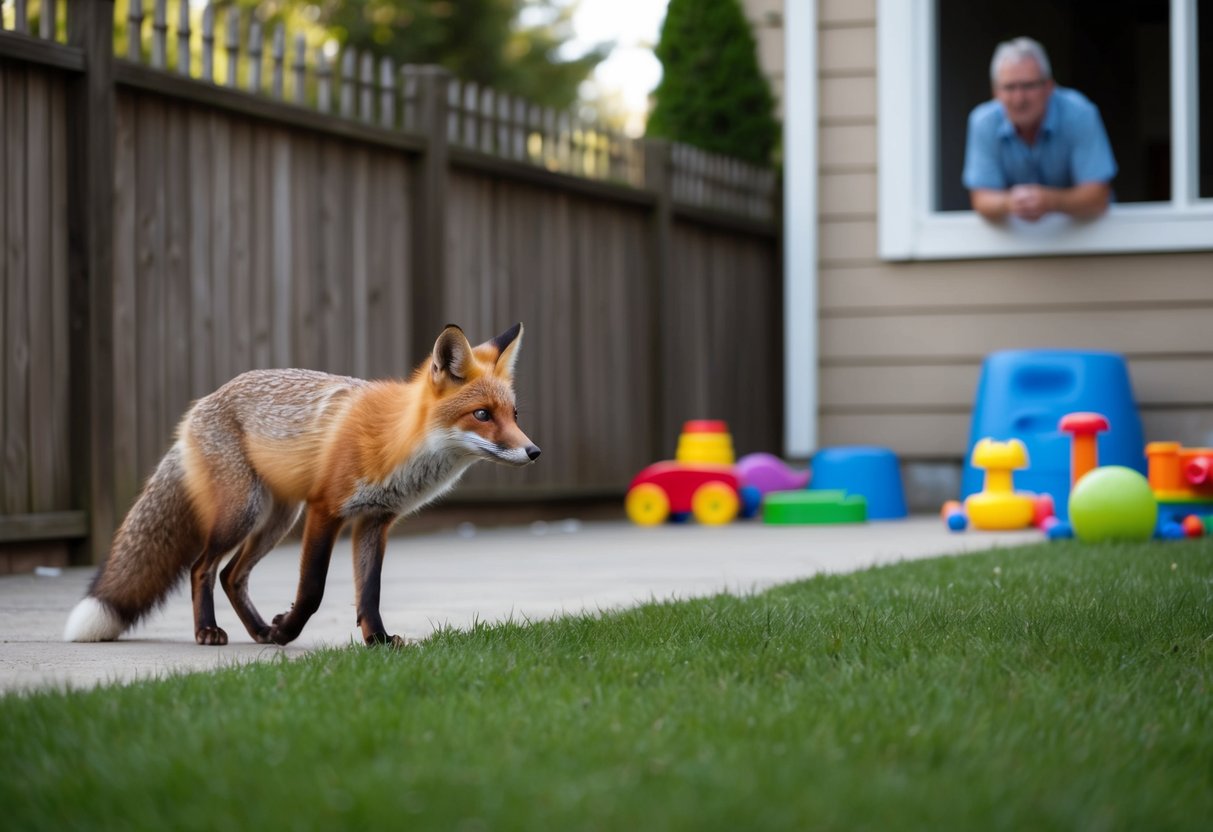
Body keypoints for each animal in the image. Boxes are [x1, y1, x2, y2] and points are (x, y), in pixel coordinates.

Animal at [64, 323, 540, 648]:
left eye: (514, 415)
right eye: (482, 414)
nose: (534, 451)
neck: (397, 442)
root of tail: (200, 405)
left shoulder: (374, 520)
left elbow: (369, 594)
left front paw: (378, 641)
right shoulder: (325, 510)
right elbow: (311, 592)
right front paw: (288, 631)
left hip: (276, 521)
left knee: (232, 576)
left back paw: (258, 630)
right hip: (244, 513)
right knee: (202, 568)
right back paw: (209, 630)